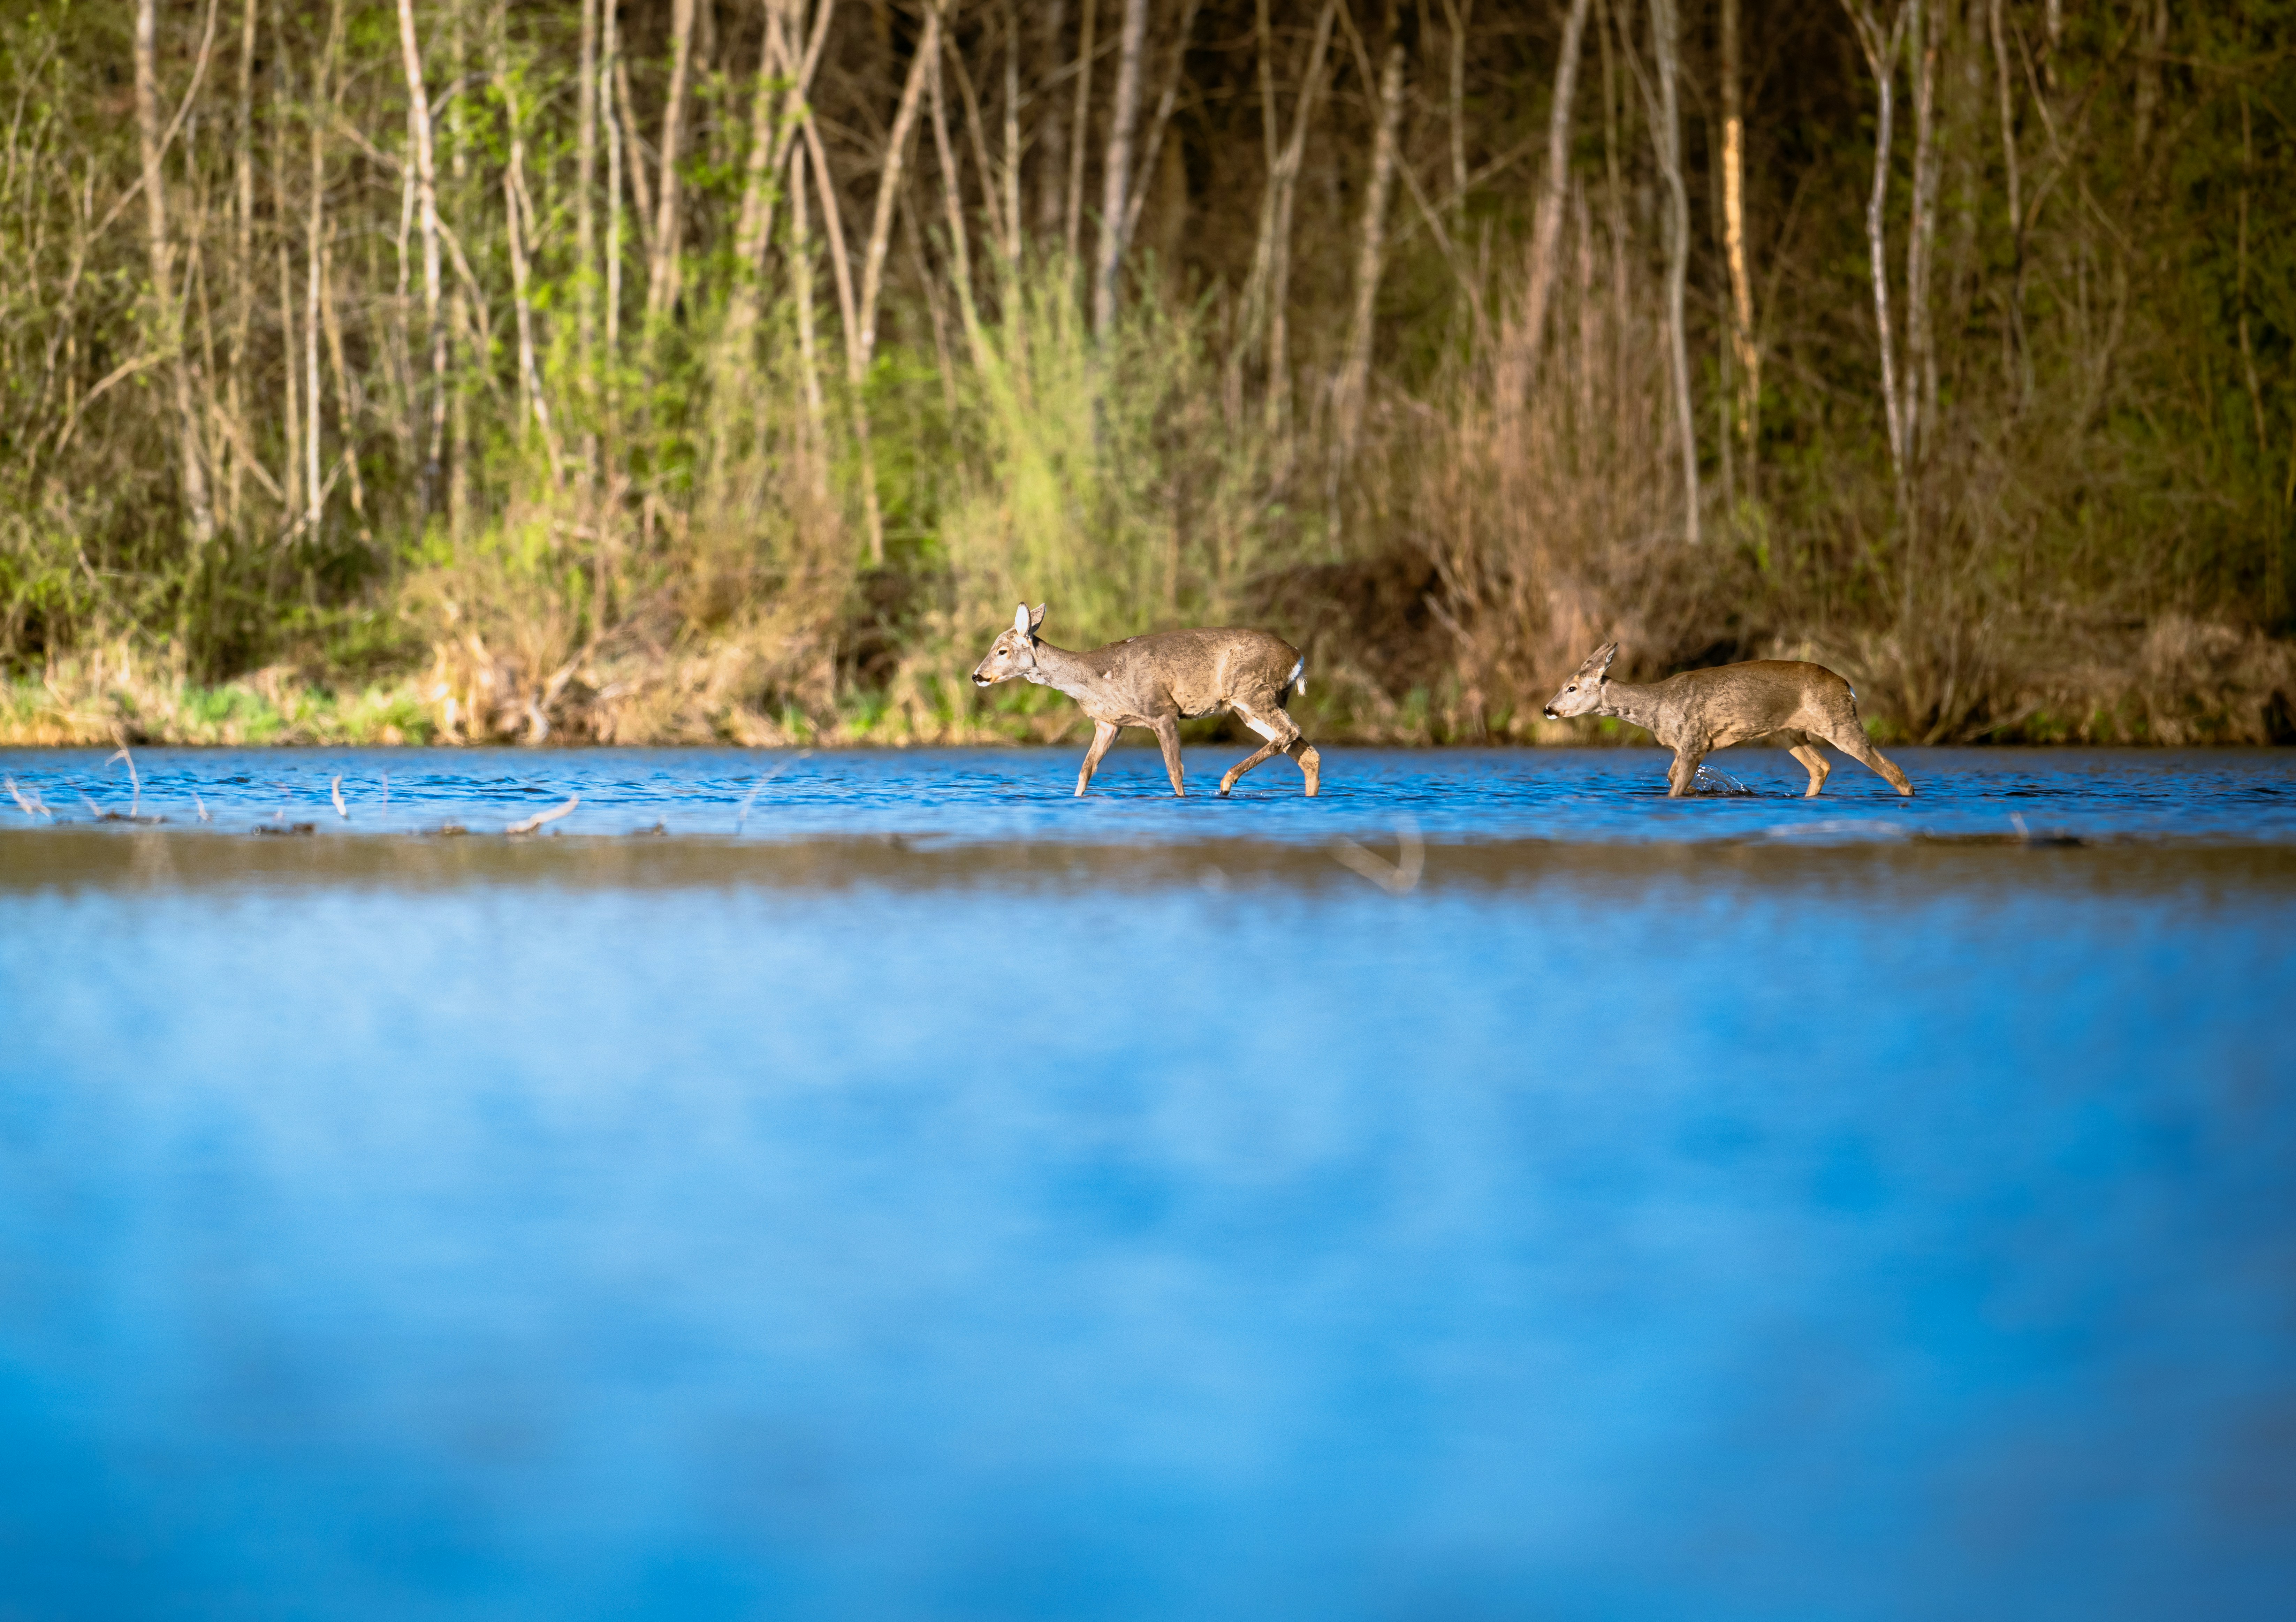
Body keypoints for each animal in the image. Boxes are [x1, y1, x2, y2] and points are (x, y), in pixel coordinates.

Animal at [971, 604, 1322, 798]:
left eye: (1002, 650)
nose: (977, 676)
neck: (1096, 678)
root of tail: (1299, 658)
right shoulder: (1108, 724)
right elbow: (1085, 771)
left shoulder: (1161, 711)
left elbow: (1175, 771)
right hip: (1251, 705)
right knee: (1307, 753)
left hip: (1250, 690)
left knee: (1290, 732)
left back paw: (1226, 782)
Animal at [1542, 642, 1914, 798]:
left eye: (1571, 687)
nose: (1548, 709)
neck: (1657, 707)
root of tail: (1847, 685)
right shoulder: (1683, 746)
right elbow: (1671, 776)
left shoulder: (1694, 741)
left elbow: (1675, 787)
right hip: (1789, 732)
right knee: (1821, 766)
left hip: (1837, 721)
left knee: (1890, 767)